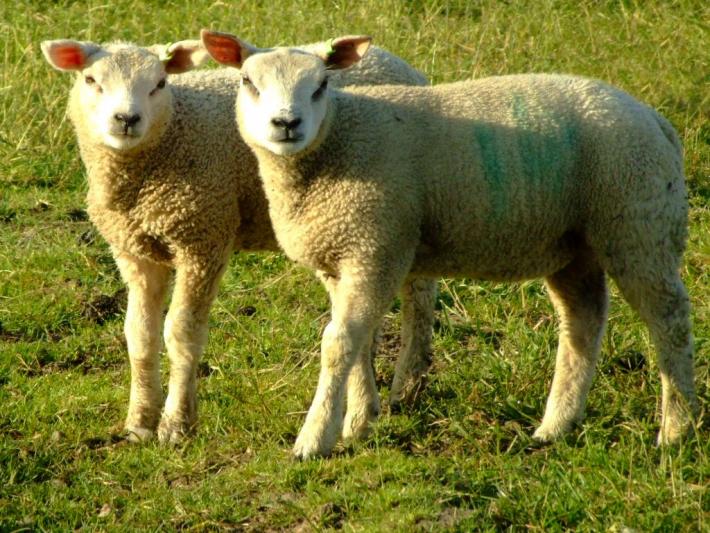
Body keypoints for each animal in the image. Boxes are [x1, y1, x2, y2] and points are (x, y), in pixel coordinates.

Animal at [41, 36, 436, 444]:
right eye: (91, 80)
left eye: (159, 84)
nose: (127, 119)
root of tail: (401, 64)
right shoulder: (135, 252)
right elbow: (139, 335)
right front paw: (139, 422)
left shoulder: (203, 240)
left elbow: (181, 333)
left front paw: (176, 424)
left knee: (419, 296)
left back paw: (408, 382)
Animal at [202, 32, 699, 459]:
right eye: (248, 82)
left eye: (322, 85)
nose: (286, 123)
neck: (338, 140)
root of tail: (656, 120)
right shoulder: (344, 256)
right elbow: (357, 341)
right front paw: (360, 422)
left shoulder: (374, 246)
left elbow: (339, 343)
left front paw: (315, 439)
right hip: (574, 243)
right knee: (582, 321)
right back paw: (555, 426)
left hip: (638, 222)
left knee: (669, 319)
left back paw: (677, 428)